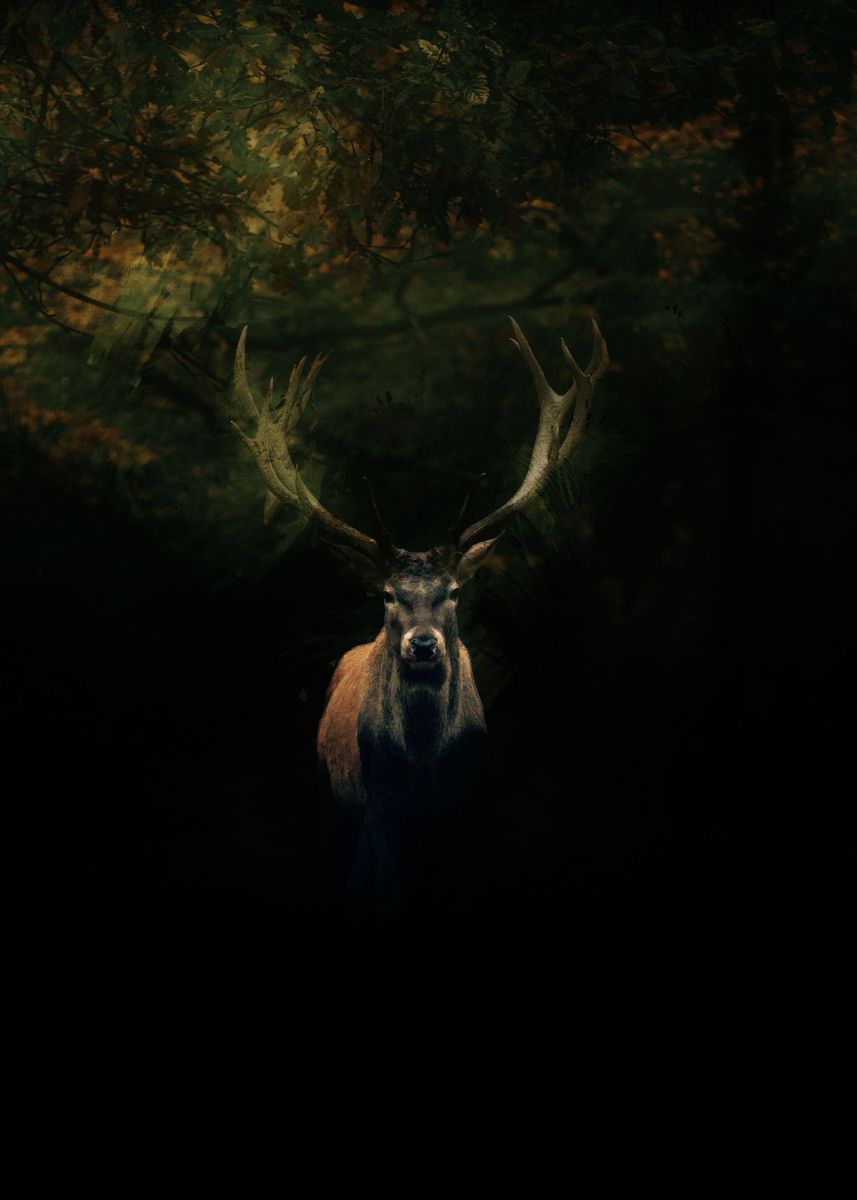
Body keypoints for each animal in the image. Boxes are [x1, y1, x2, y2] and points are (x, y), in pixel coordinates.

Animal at [231, 317, 609, 920]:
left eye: (453, 591)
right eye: (387, 594)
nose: (424, 645)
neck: (425, 761)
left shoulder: (465, 804)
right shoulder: (378, 806)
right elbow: (386, 892)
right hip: (331, 793)